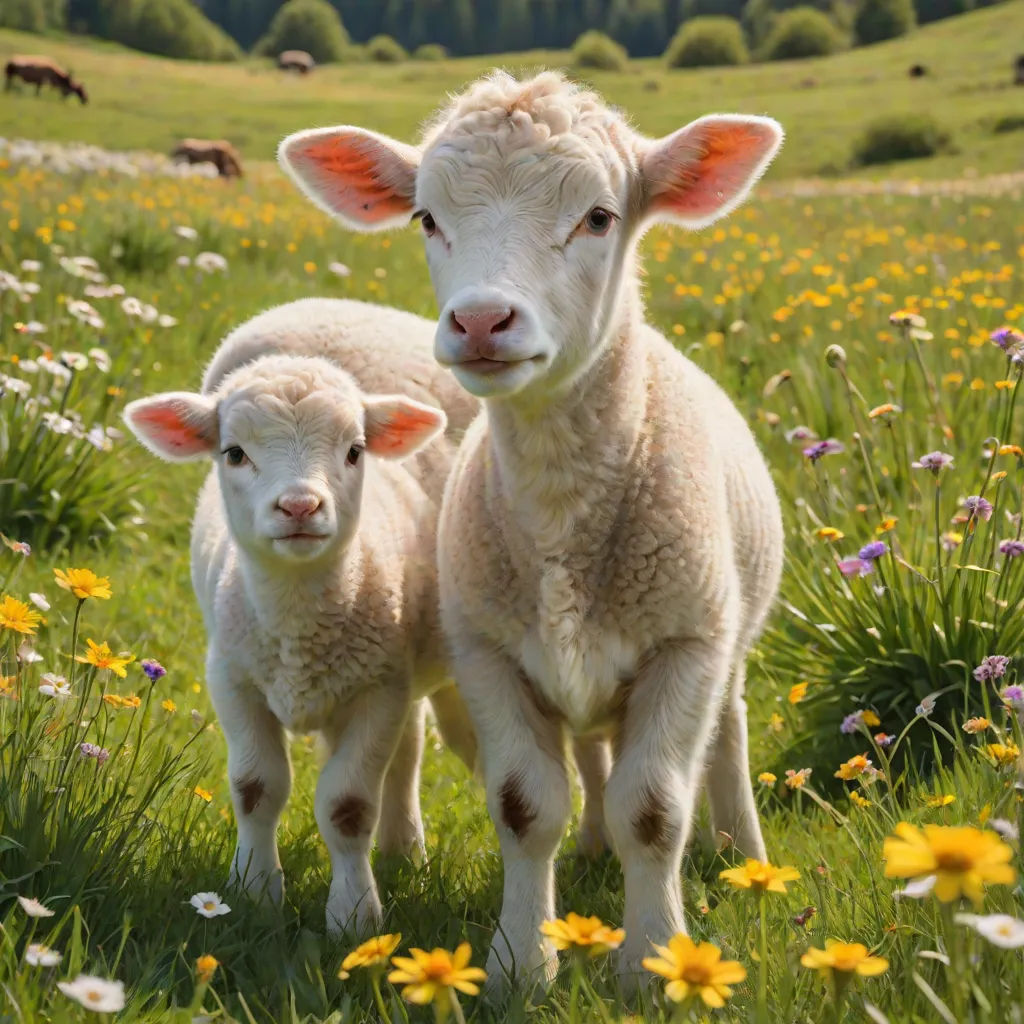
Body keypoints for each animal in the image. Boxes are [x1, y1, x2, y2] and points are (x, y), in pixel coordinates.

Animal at [122, 298, 479, 935]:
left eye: (355, 451)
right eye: (234, 453)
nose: (299, 507)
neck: (298, 622)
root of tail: (337, 308)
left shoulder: (376, 688)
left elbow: (348, 805)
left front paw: (354, 917)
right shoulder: (233, 678)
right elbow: (255, 788)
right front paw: (255, 893)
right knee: (409, 752)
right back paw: (403, 851)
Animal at [279, 71, 785, 985]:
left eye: (600, 217)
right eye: (426, 217)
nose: (482, 322)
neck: (559, 511)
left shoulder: (684, 645)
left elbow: (655, 809)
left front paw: (652, 961)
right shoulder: (489, 652)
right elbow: (524, 807)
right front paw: (521, 963)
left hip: (724, 638)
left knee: (726, 736)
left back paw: (739, 850)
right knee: (592, 756)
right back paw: (591, 850)